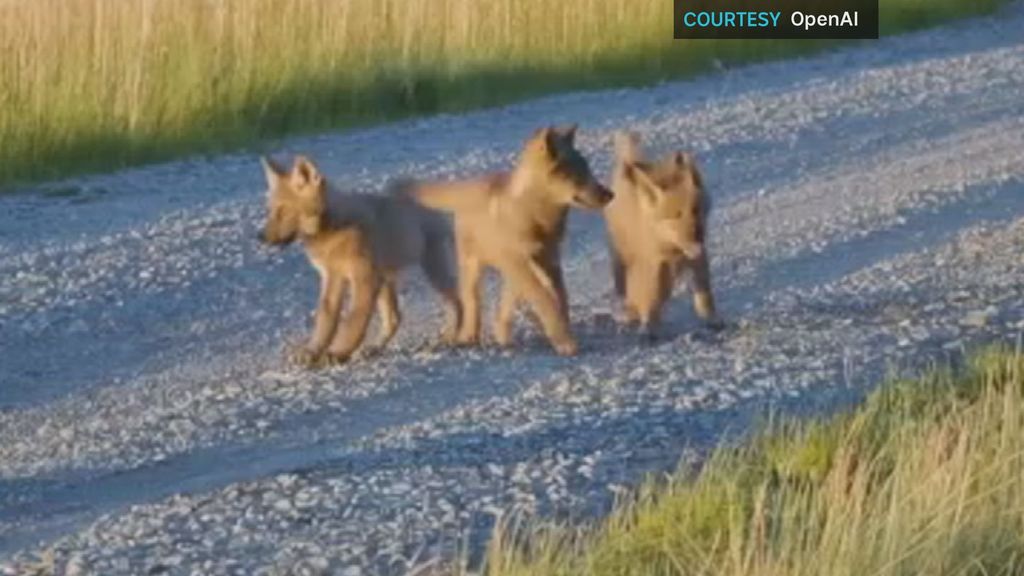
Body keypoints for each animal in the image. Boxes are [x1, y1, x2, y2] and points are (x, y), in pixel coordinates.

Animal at [259, 155, 460, 366]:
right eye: (271, 211)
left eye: (283, 210)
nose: (260, 237)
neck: (335, 231)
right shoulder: (333, 278)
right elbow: (326, 319)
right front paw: (312, 350)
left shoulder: (364, 278)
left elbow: (353, 321)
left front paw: (337, 352)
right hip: (386, 280)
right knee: (394, 319)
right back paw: (373, 348)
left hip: (431, 271)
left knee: (457, 302)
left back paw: (454, 336)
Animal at [407, 125, 613, 356]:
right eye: (578, 173)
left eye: (588, 168)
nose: (610, 194)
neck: (537, 215)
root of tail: (475, 182)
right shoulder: (520, 263)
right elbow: (544, 299)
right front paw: (564, 341)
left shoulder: (549, 261)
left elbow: (560, 297)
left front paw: (562, 333)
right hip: (475, 265)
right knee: (472, 301)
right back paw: (470, 335)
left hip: (515, 268)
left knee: (507, 300)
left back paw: (502, 334)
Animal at [604, 131, 719, 339]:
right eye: (676, 215)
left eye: (695, 210)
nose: (697, 235)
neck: (674, 249)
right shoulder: (655, 264)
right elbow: (651, 298)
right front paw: (648, 327)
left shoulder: (699, 260)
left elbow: (704, 295)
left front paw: (712, 320)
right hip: (621, 256)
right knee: (625, 287)